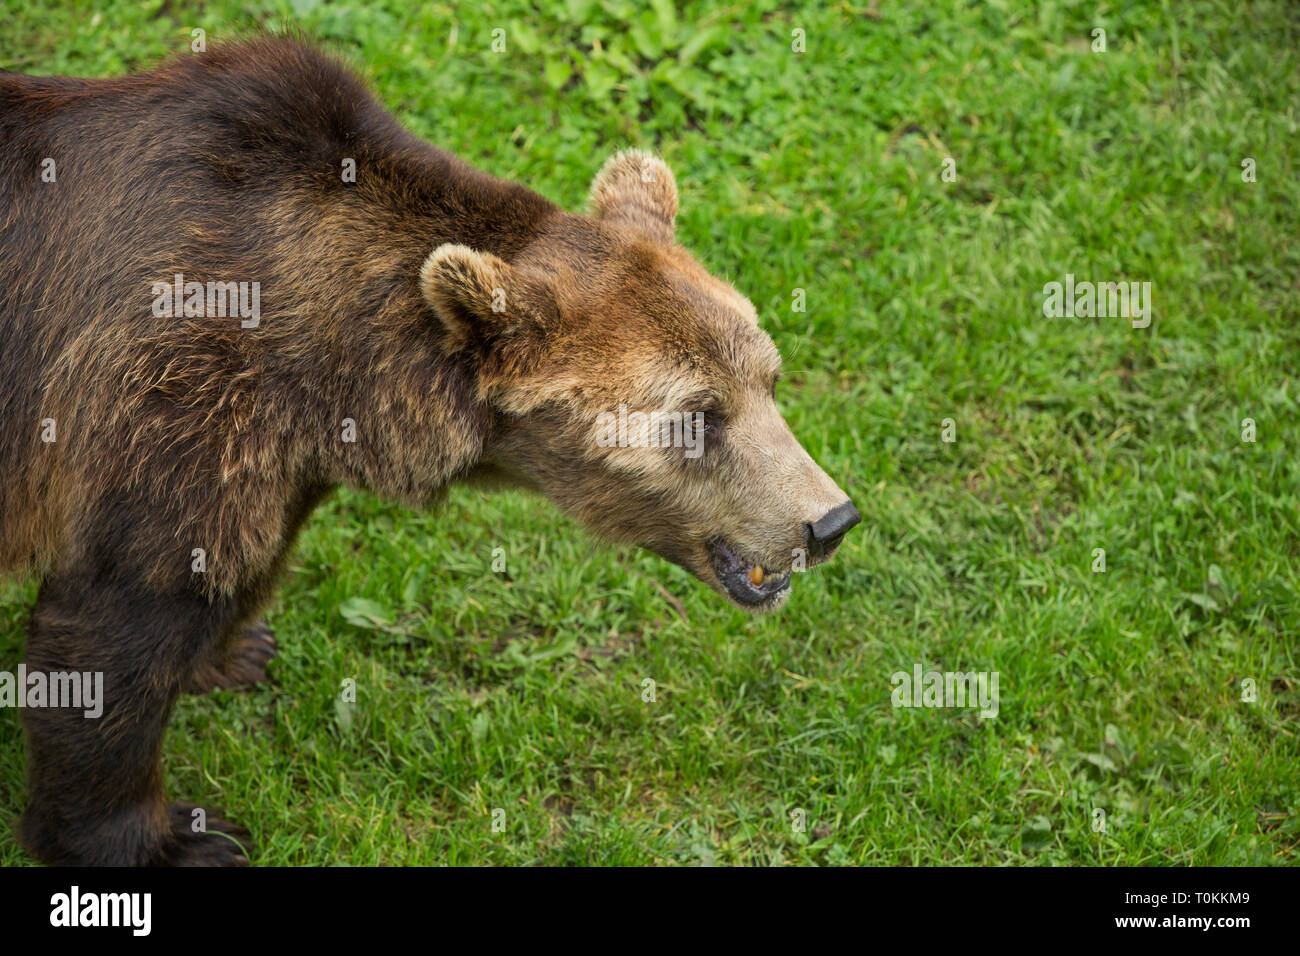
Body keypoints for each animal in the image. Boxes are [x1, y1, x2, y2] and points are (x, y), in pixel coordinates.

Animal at [0, 35, 860, 865]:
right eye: (697, 417)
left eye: (770, 378)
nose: (830, 520)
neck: (327, 353)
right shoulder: (171, 384)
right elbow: (119, 617)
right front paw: (174, 836)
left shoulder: (278, 445)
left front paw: (233, 652)